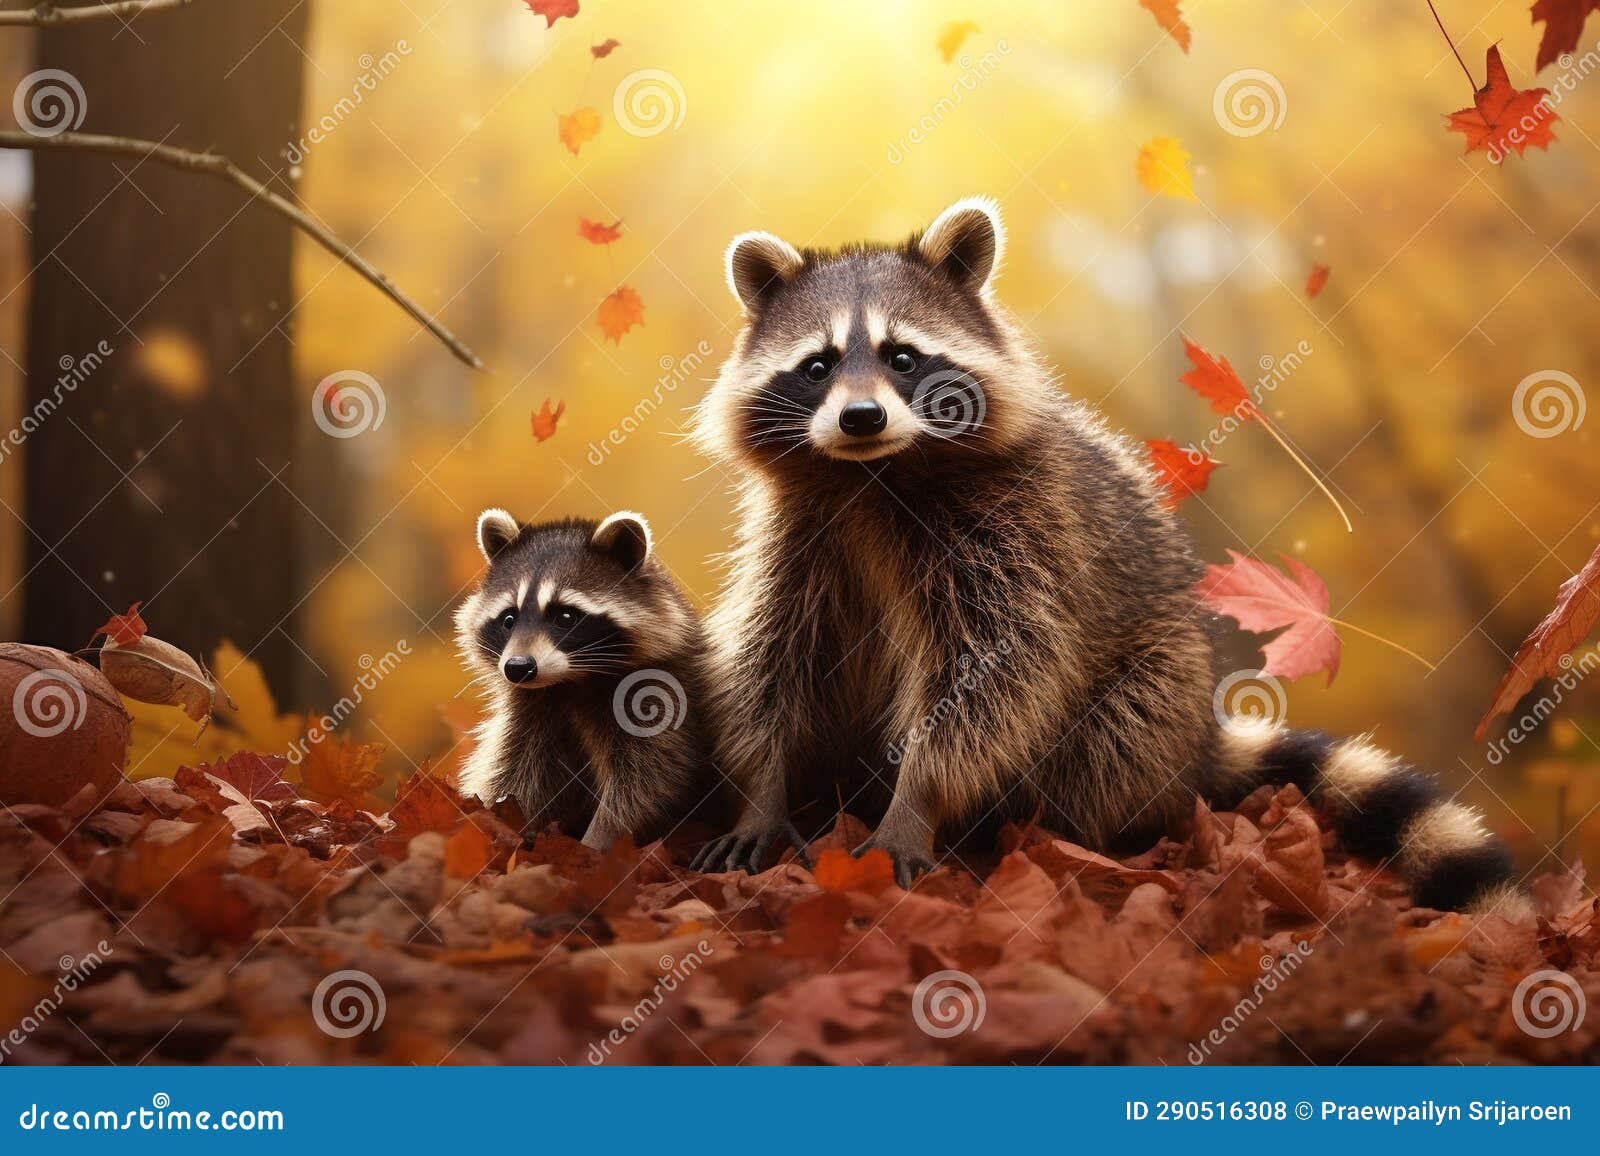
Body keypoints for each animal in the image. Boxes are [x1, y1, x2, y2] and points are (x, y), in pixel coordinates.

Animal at [454, 508, 712, 850]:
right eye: (509, 619)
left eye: (565, 617)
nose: (518, 667)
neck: (571, 681)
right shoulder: (531, 710)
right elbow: (515, 771)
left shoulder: (658, 694)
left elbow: (647, 782)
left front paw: (597, 840)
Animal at [688, 196, 1523, 917]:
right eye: (818, 365)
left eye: (902, 357)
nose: (860, 418)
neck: (874, 474)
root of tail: (1196, 747)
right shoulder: (799, 539)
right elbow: (773, 660)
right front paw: (764, 789)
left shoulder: (1016, 534)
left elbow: (995, 674)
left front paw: (916, 800)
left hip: (1161, 678)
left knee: (1116, 731)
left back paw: (1055, 833)